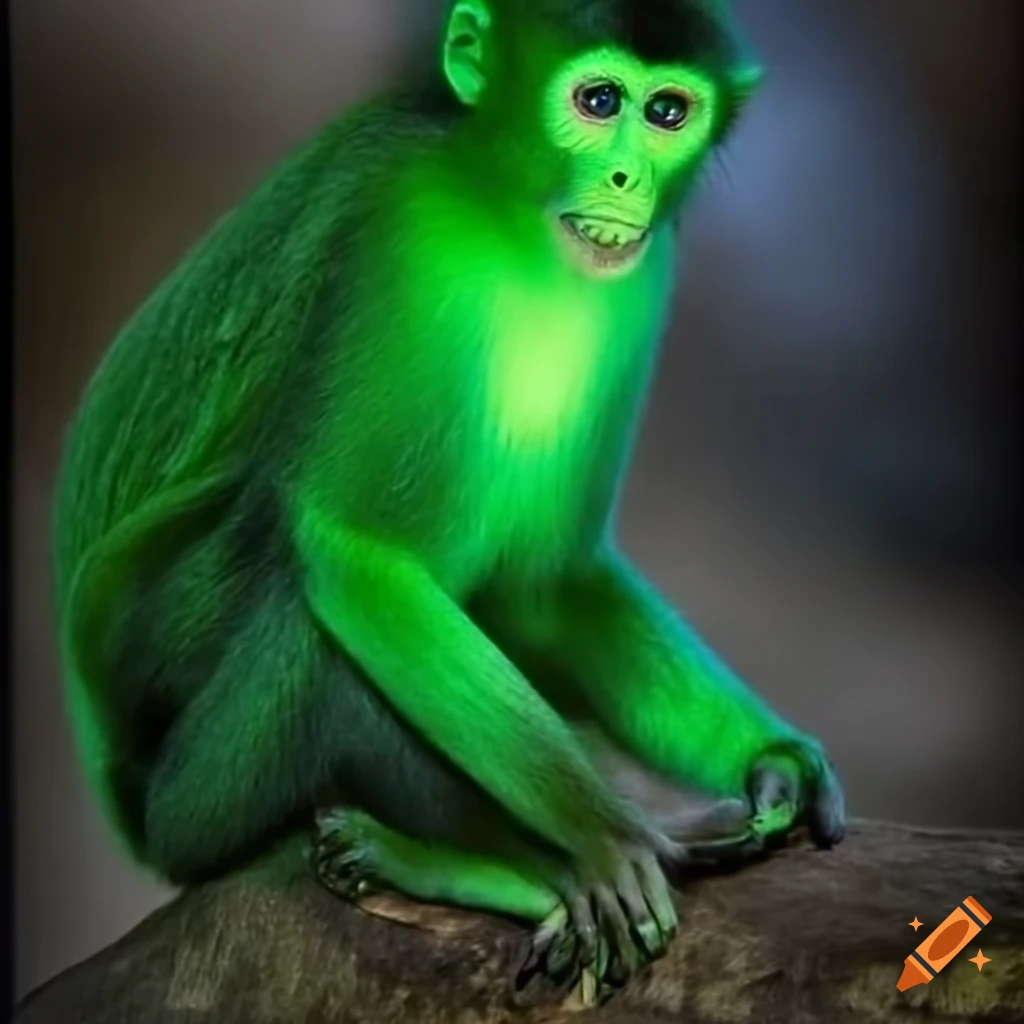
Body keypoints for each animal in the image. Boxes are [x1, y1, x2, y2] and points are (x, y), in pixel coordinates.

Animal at [52, 0, 846, 992]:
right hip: (196, 805)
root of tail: (129, 815)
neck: (511, 222)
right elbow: (358, 549)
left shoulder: (643, 272)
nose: (627, 176)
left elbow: (549, 581)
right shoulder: (409, 230)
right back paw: (480, 866)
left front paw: (769, 757)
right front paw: (600, 833)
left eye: (668, 112)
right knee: (311, 624)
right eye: (597, 100)